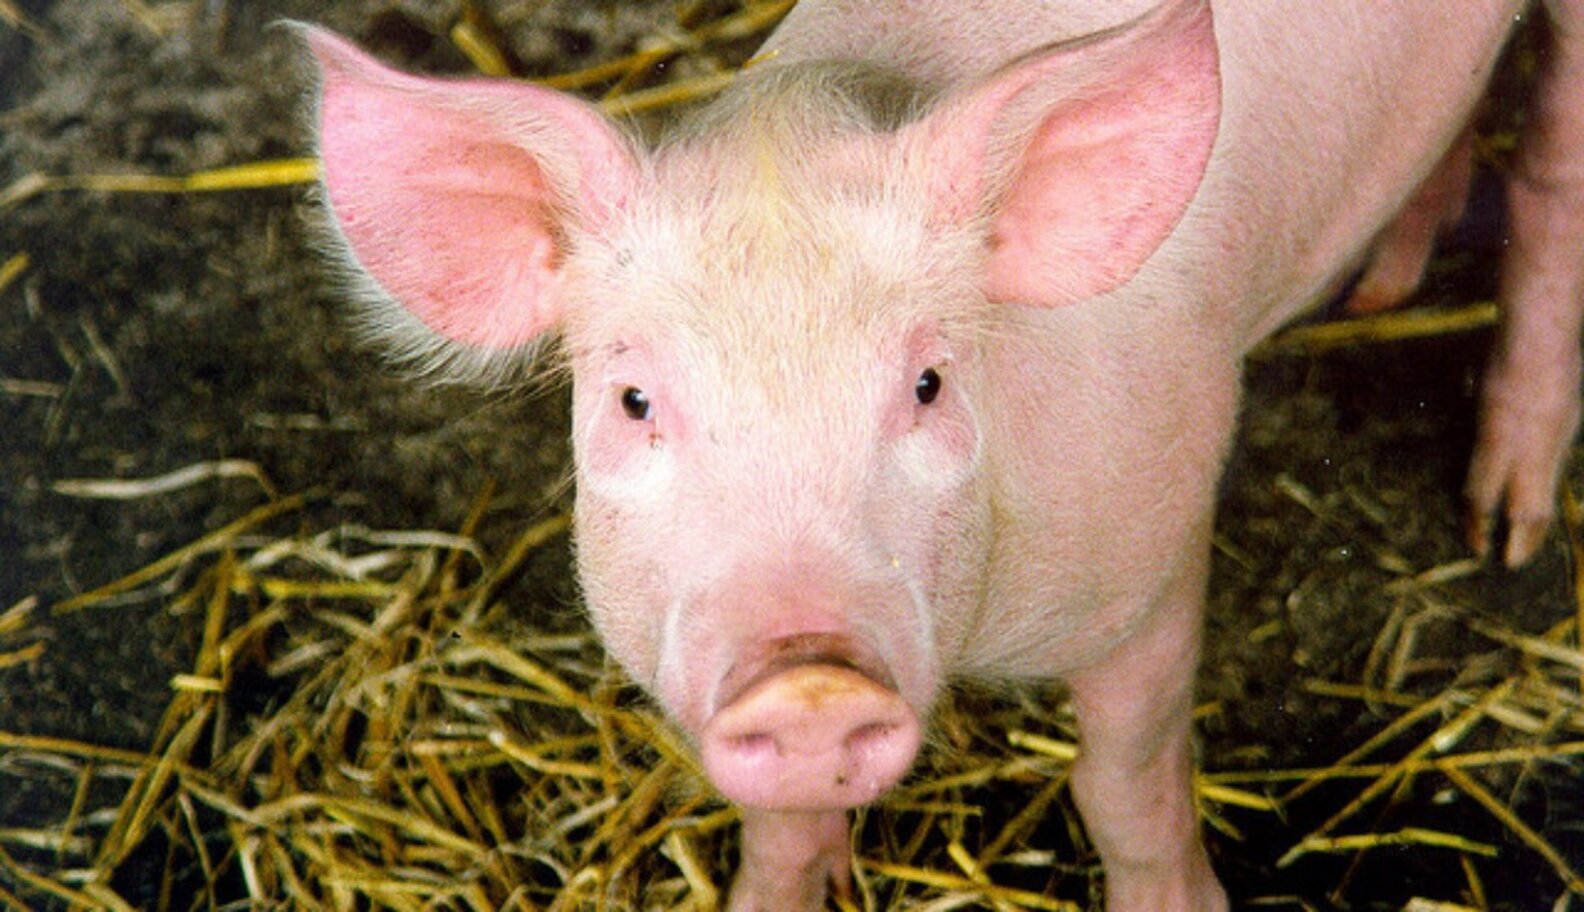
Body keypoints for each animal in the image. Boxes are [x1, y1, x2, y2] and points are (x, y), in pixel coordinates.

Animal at [299, 0, 1584, 908]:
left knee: (1551, 185)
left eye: (926, 384)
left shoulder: (1158, 547)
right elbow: (783, 832)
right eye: (634, 401)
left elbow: (1123, 786)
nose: (809, 674)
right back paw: (1382, 292)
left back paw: (1505, 530)